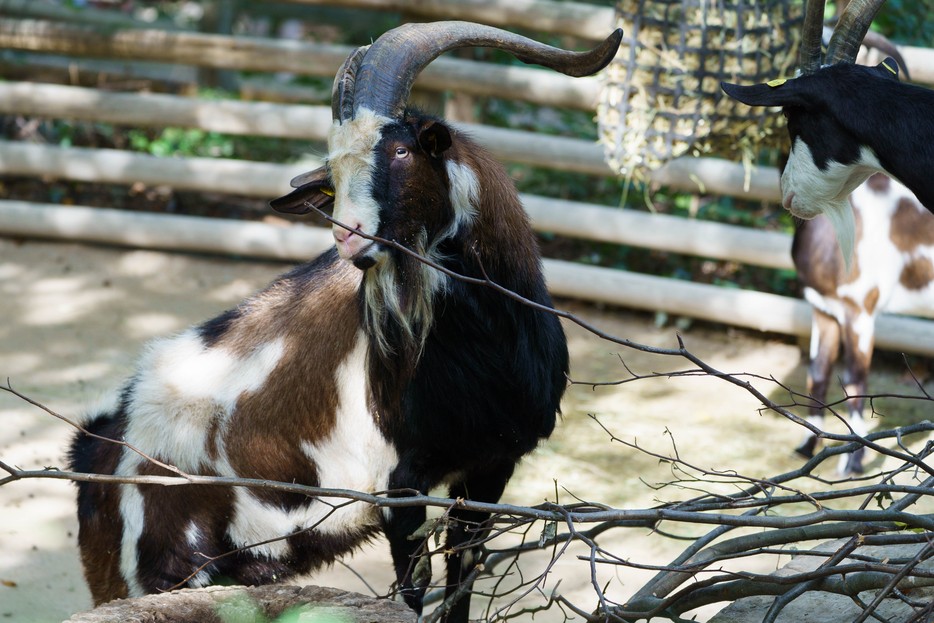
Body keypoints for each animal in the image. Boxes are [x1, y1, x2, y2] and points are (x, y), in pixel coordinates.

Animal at [67, 21, 622, 622]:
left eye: (401, 149)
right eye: (334, 172)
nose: (348, 236)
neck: (484, 349)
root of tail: (99, 442)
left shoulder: (490, 468)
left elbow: (462, 579)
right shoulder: (400, 485)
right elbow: (412, 591)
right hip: (162, 570)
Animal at [793, 173, 934, 475]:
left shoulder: (859, 311)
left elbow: (855, 382)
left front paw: (852, 461)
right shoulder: (823, 307)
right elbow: (818, 372)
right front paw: (808, 447)